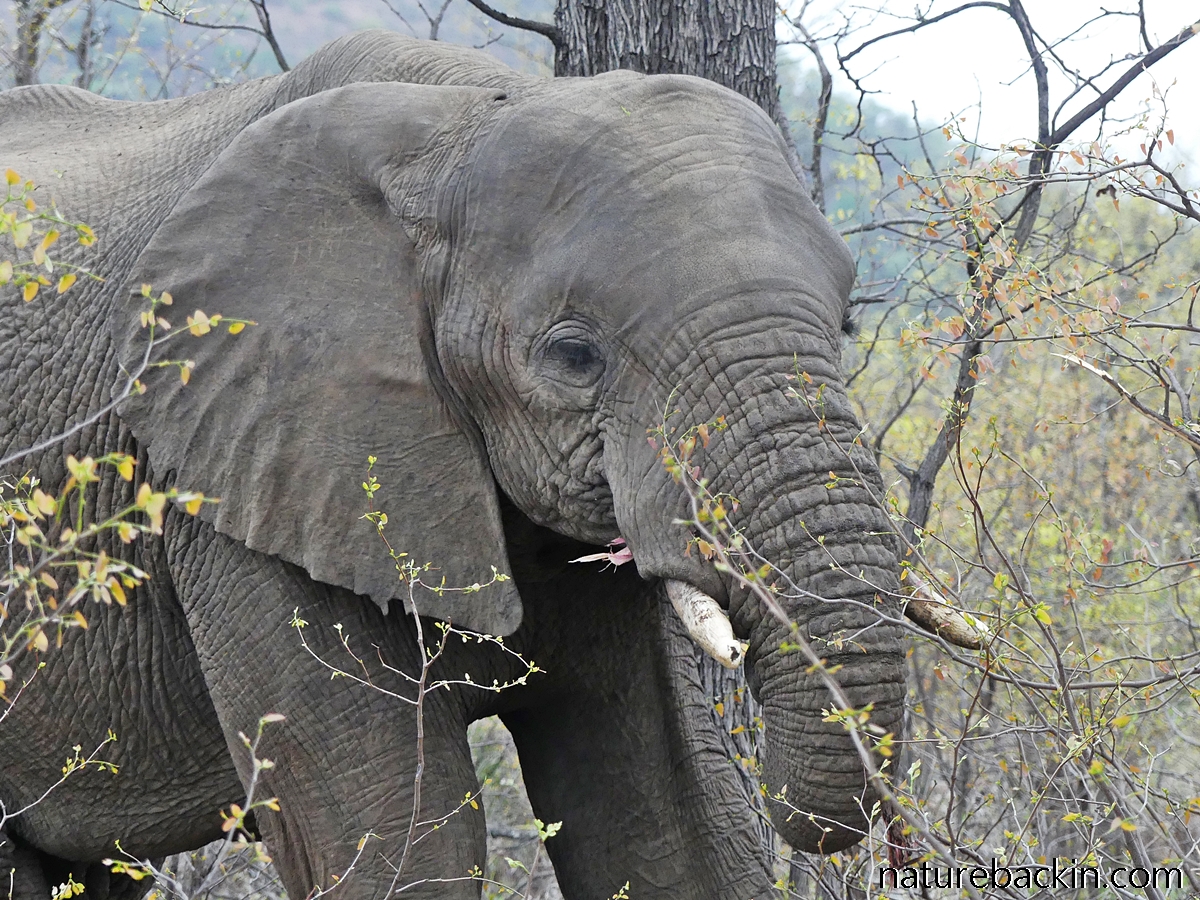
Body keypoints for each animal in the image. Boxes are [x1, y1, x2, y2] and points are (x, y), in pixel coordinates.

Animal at [0, 30, 909, 900]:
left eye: (846, 322)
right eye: (574, 355)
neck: (462, 116)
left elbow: (667, 832)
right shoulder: (240, 473)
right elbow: (403, 847)